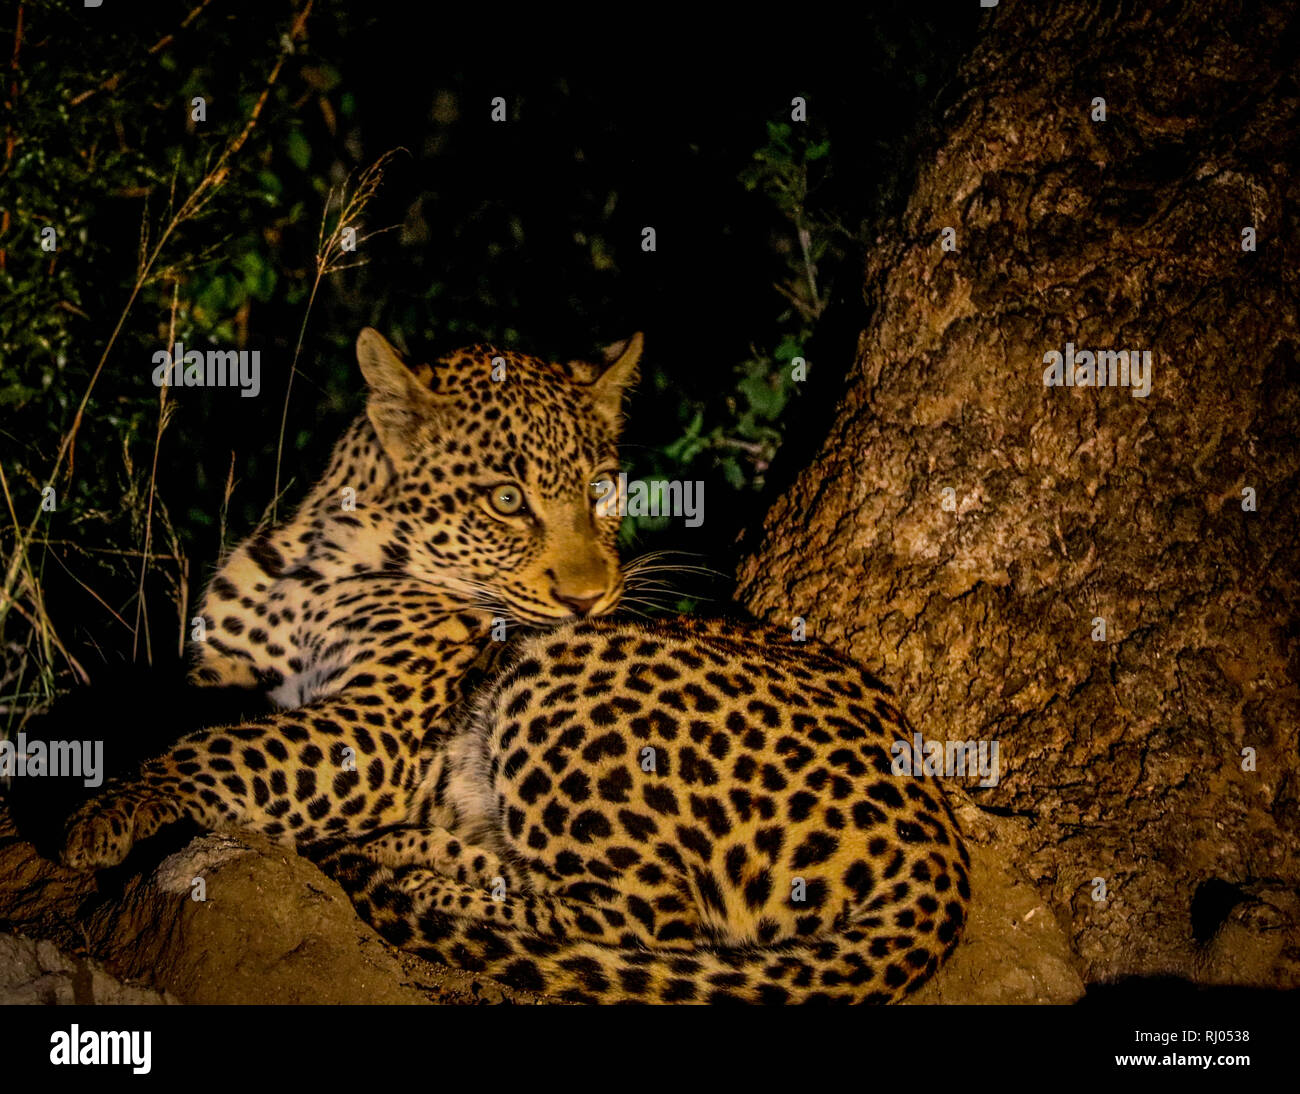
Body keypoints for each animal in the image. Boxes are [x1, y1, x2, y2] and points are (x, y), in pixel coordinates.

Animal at [60, 326, 969, 1003]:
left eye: (602, 490)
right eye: (506, 500)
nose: (592, 598)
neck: (319, 557)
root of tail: (938, 841)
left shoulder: (376, 731)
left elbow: (220, 747)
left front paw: (107, 813)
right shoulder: (217, 676)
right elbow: (183, 718)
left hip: (561, 681)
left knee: (651, 920)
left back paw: (419, 875)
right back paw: (412, 849)